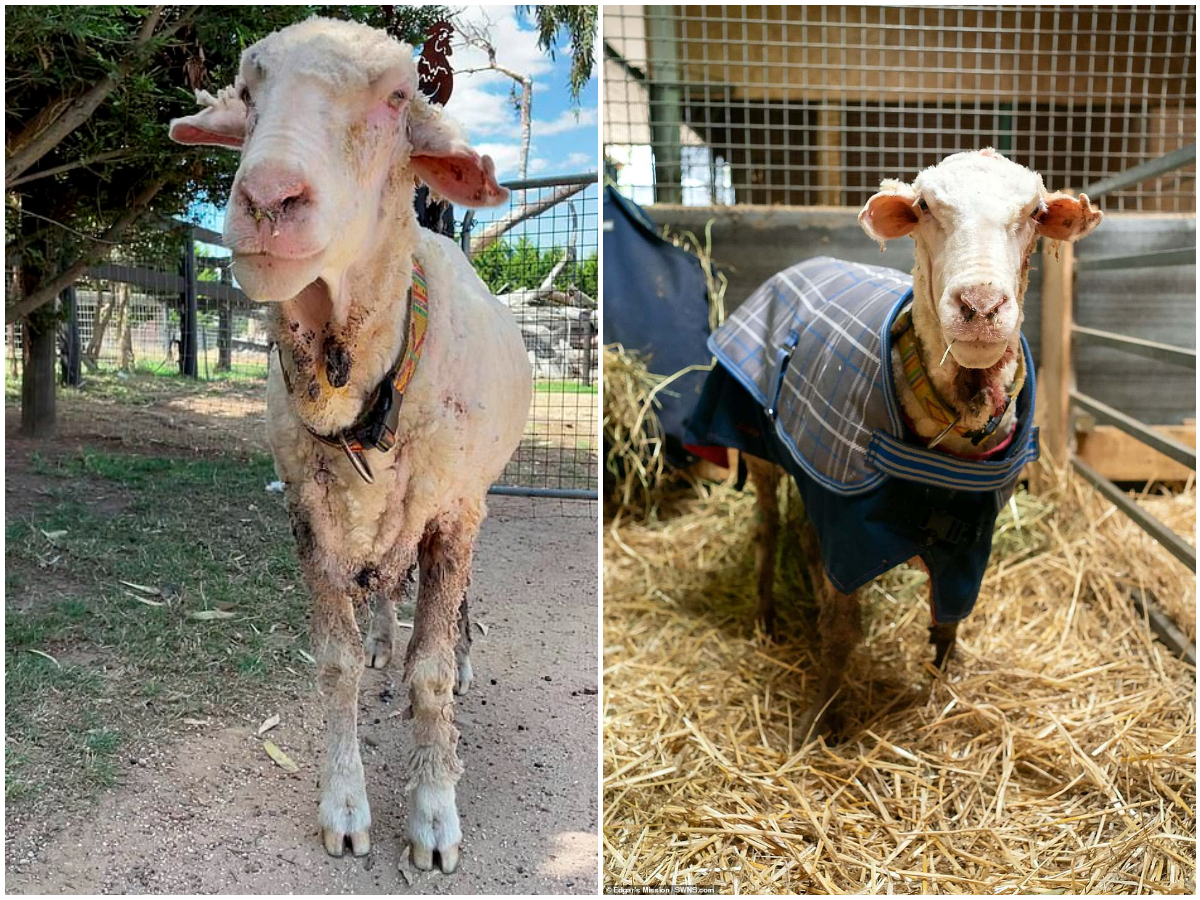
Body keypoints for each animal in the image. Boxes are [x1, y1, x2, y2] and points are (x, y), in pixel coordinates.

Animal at [169, 18, 532, 872]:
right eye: (249, 92)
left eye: (398, 99)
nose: (268, 198)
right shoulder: (310, 516)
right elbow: (331, 668)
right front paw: (343, 807)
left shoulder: (452, 514)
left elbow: (429, 673)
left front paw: (433, 818)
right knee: (384, 590)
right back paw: (379, 642)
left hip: (469, 502)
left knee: (454, 608)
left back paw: (461, 654)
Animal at [690, 149, 1101, 741]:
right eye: (925, 206)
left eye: (1035, 212)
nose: (980, 306)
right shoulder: (849, 524)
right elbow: (843, 630)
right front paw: (818, 721)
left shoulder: (970, 534)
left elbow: (951, 616)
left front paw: (945, 682)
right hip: (758, 450)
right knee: (767, 529)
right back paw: (765, 614)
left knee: (804, 536)